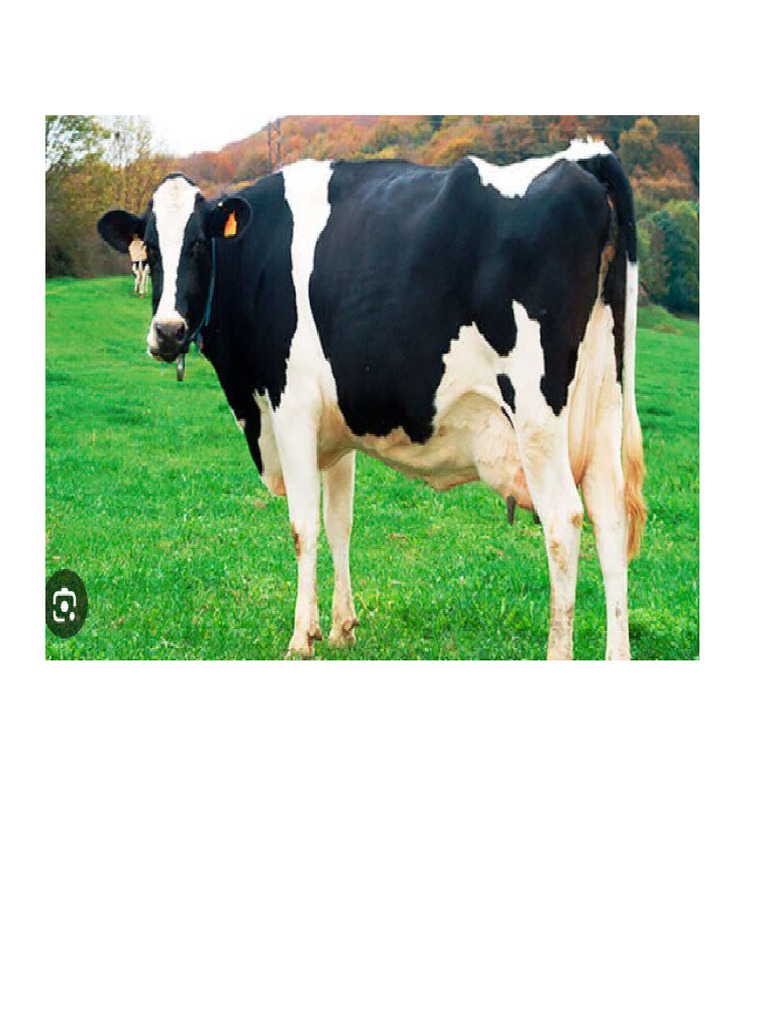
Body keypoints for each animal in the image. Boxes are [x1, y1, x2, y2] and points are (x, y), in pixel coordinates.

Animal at [97, 138, 646, 660]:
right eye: (149, 249)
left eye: (197, 245)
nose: (168, 333)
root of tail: (583, 157)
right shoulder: (335, 429)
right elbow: (339, 522)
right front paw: (341, 628)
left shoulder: (291, 406)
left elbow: (303, 524)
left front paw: (301, 637)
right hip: (603, 405)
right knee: (610, 518)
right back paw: (617, 655)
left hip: (538, 416)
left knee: (564, 520)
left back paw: (558, 653)